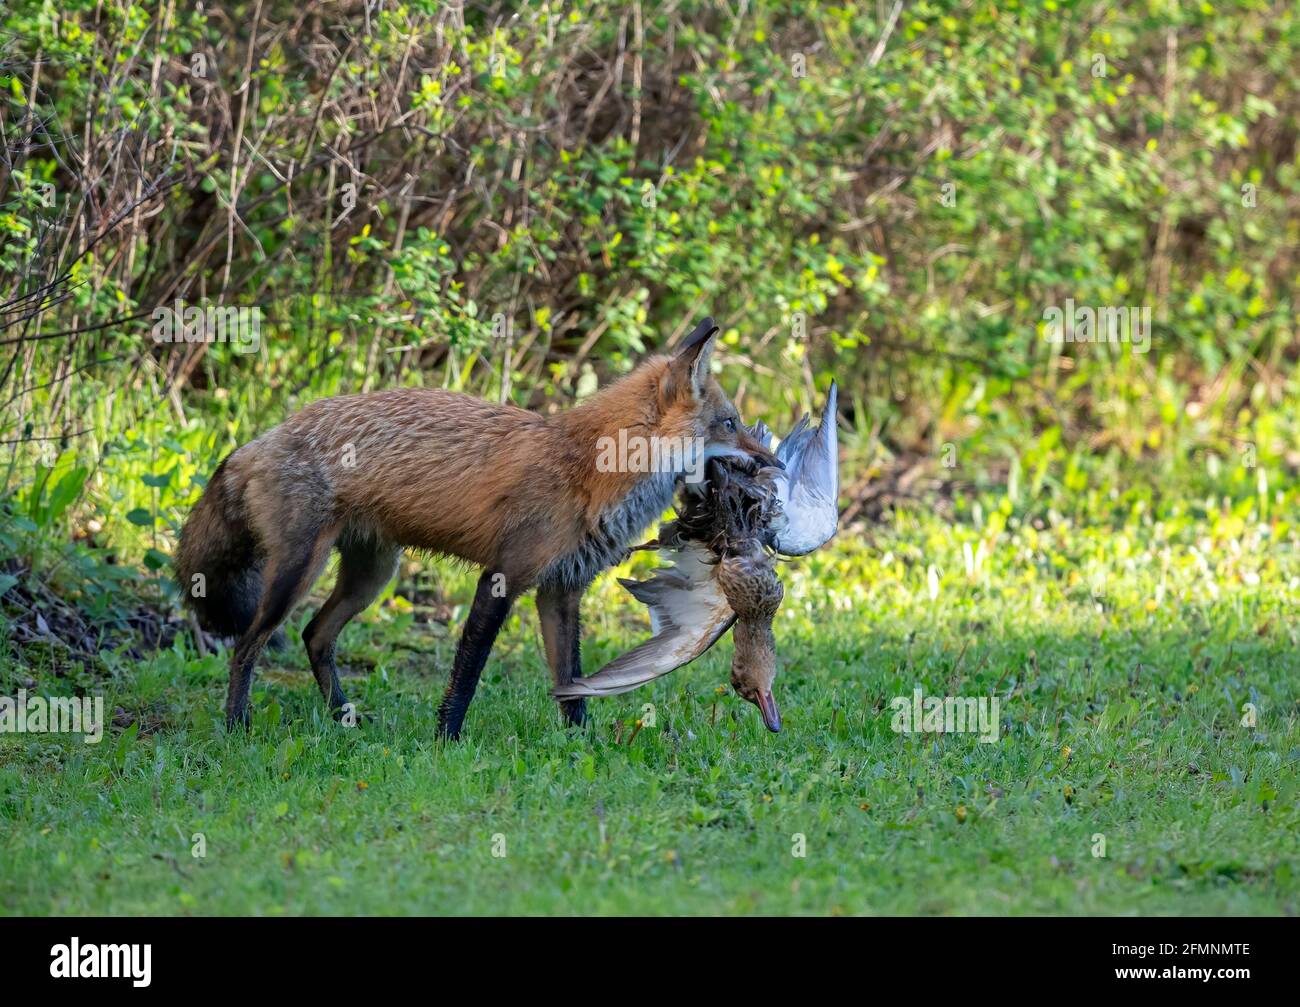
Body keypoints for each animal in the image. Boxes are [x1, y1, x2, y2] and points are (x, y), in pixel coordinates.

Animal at [174, 317, 779, 739]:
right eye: (729, 423)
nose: (775, 464)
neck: (587, 468)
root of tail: (262, 437)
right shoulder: (503, 576)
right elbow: (467, 671)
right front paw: (446, 739)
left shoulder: (561, 591)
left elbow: (571, 684)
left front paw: (582, 746)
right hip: (296, 572)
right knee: (247, 645)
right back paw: (238, 727)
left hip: (371, 575)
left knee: (314, 636)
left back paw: (345, 718)